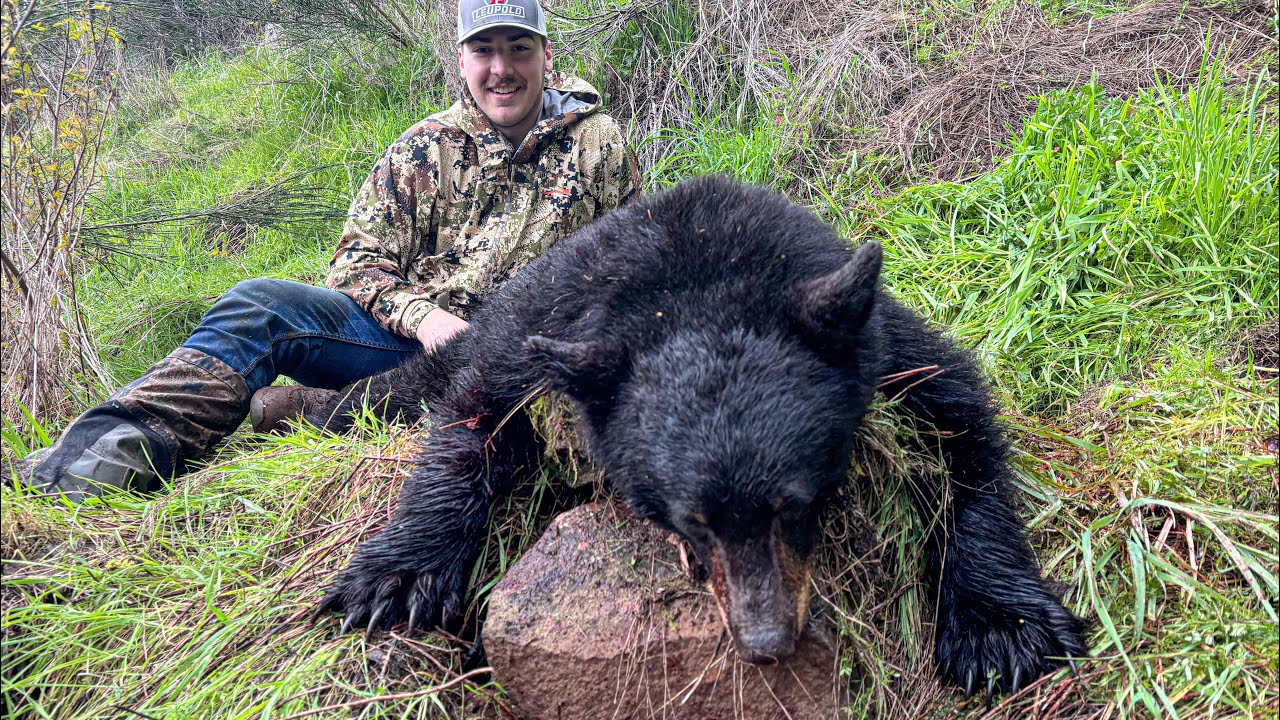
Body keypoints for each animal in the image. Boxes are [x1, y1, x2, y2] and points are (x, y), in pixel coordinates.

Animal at [309, 175, 1088, 695]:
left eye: (797, 504)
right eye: (692, 521)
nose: (768, 642)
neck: (694, 282)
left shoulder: (881, 345)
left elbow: (963, 425)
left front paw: (997, 626)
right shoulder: (537, 340)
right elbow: (470, 423)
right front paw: (400, 577)